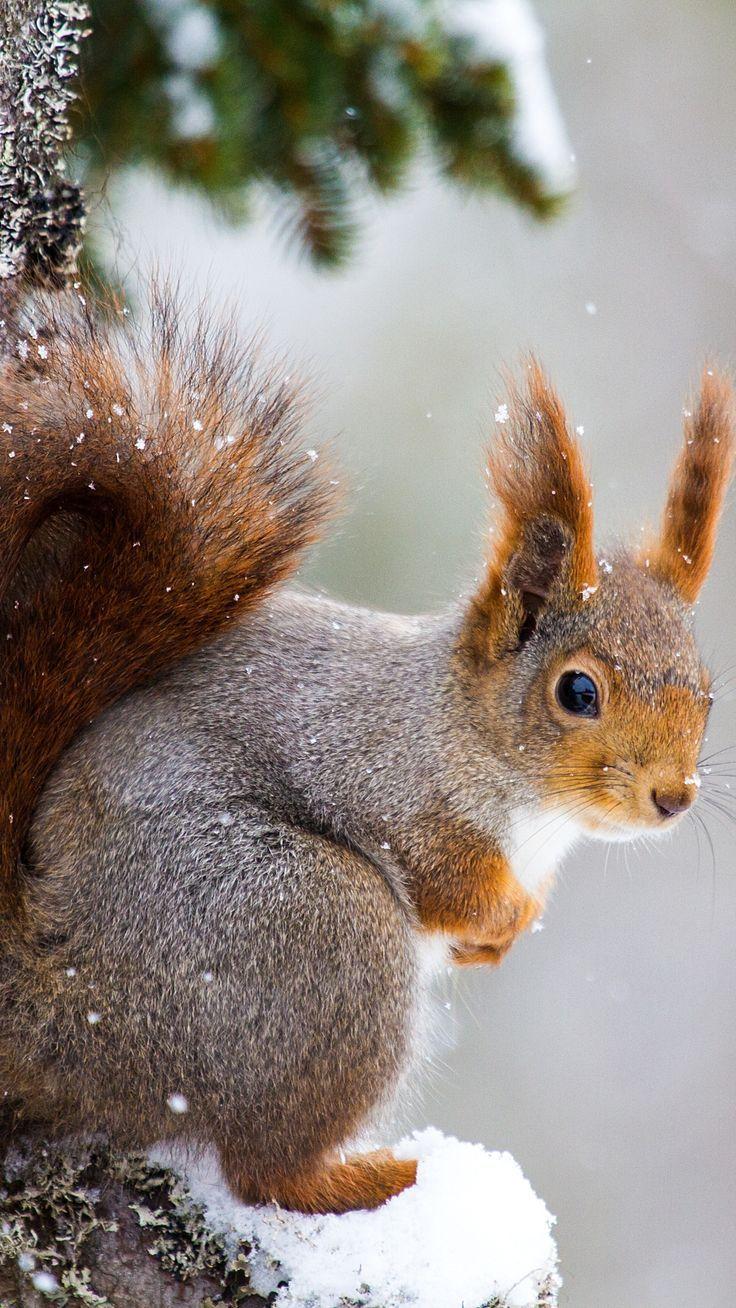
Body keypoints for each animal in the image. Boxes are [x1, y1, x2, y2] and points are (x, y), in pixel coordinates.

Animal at [0, 284, 731, 1216]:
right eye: (577, 692)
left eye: (706, 691)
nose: (672, 797)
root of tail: (66, 1000)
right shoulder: (385, 779)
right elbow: (446, 874)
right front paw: (501, 915)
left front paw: (504, 935)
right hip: (319, 931)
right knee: (265, 1169)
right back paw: (375, 1176)